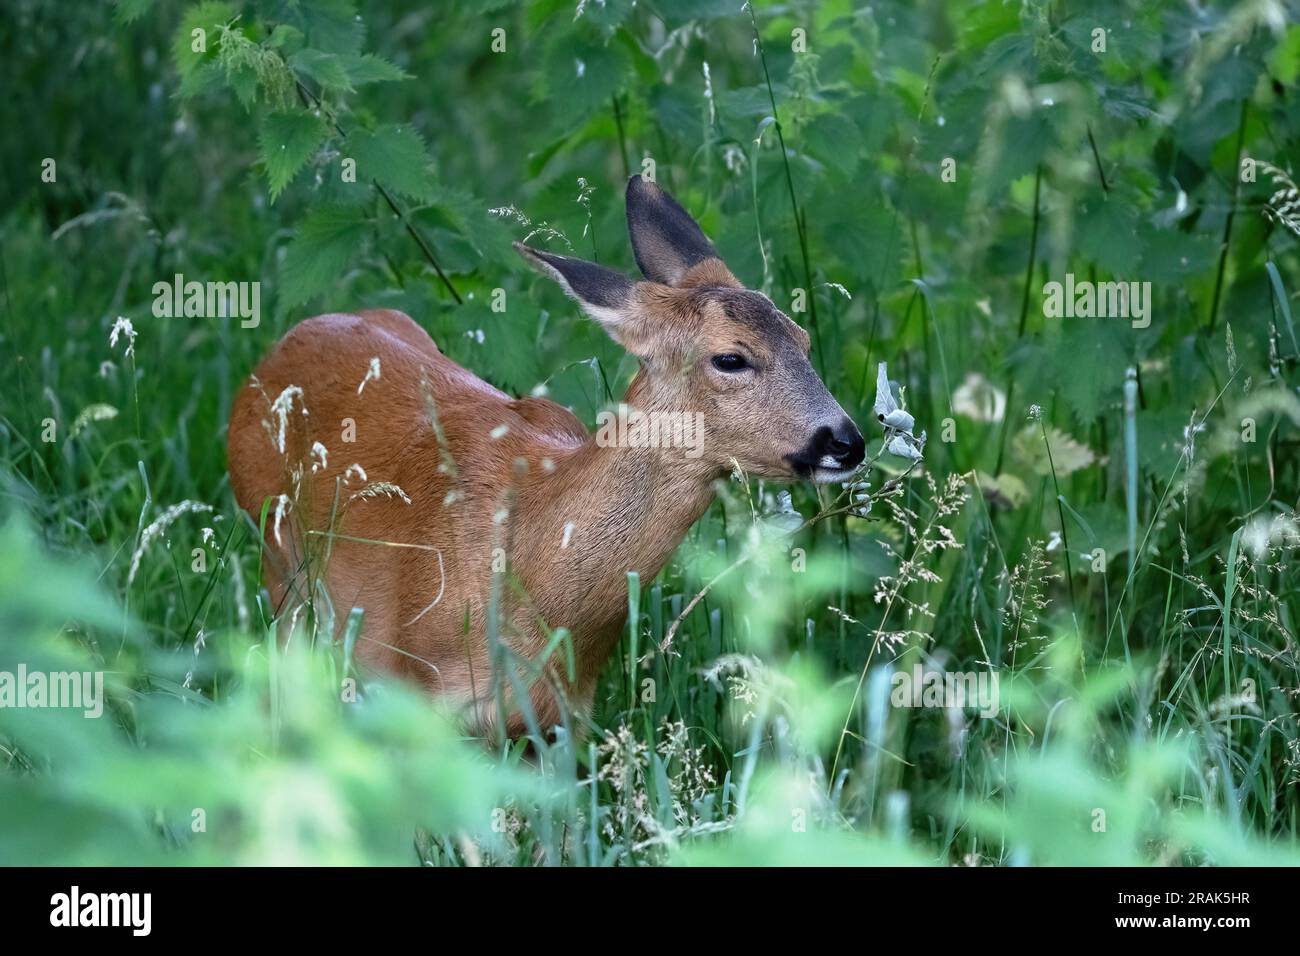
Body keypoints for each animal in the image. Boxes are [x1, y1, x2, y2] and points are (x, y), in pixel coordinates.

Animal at [227, 175, 865, 739]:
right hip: (282, 567)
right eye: (731, 358)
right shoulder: (416, 691)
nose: (846, 441)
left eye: (804, 339)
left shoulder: (559, 722)